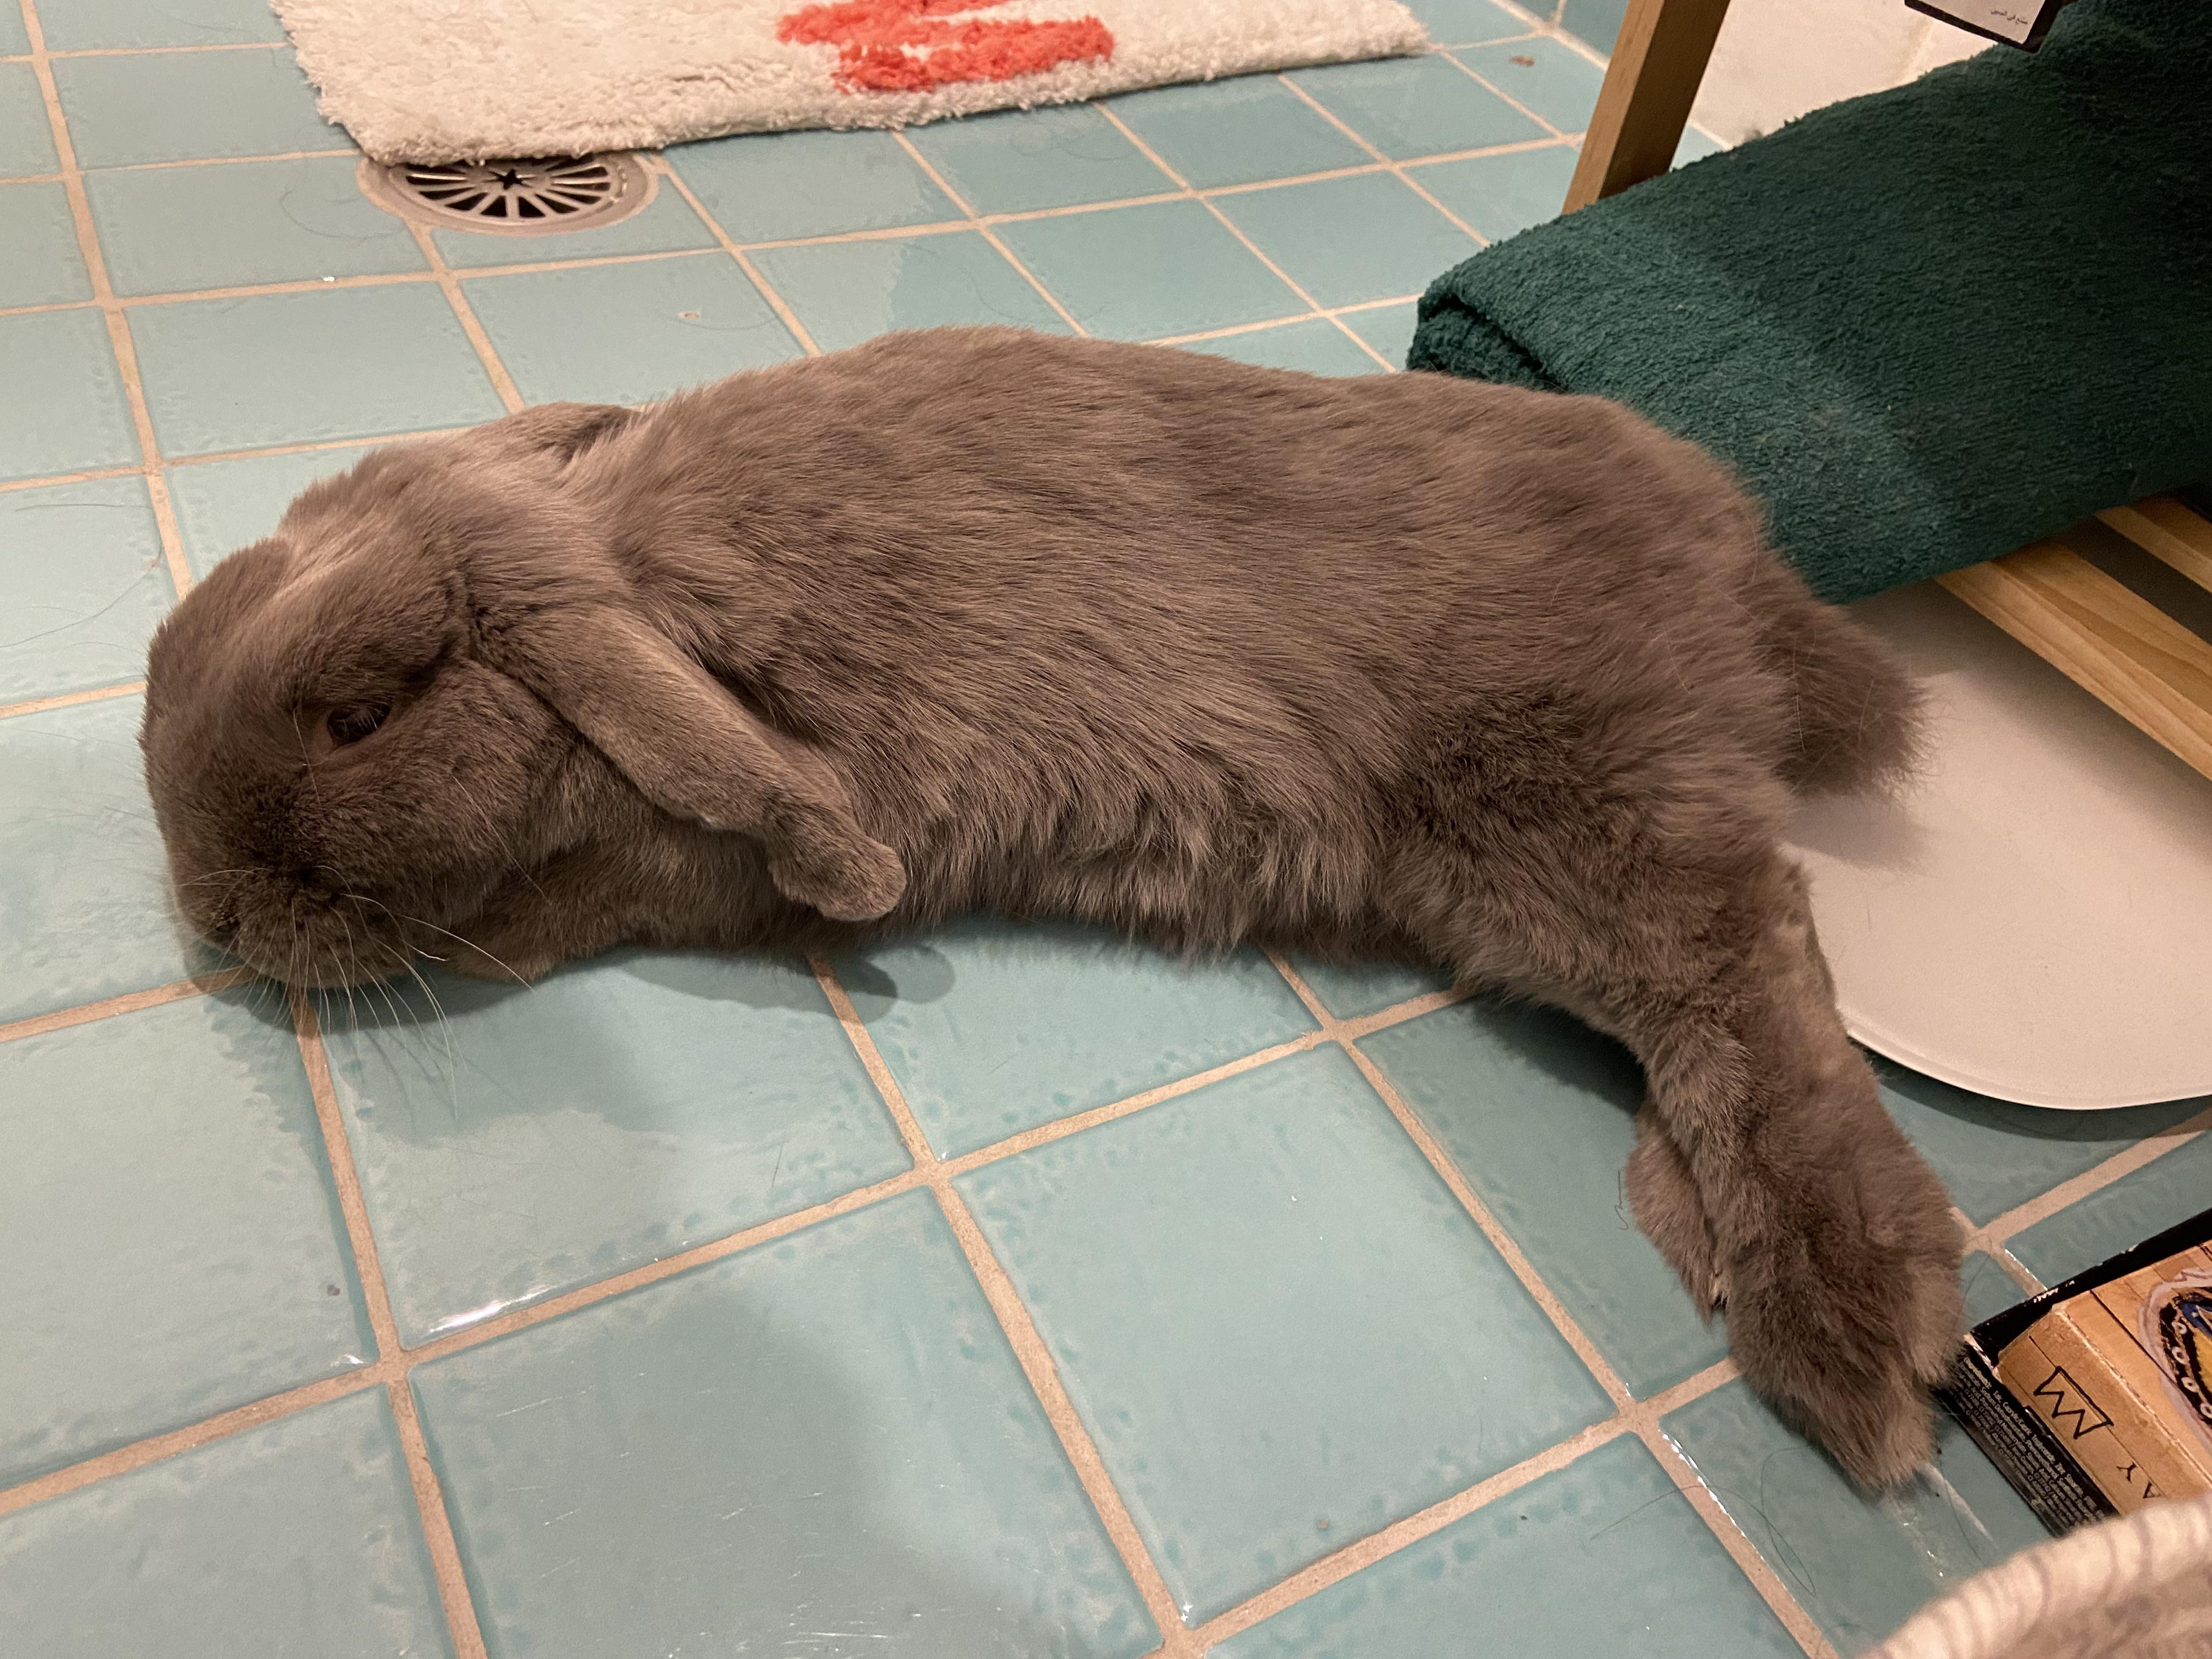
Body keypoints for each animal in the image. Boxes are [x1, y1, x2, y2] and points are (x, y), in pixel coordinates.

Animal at [141, 325, 1961, 1491]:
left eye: (360, 717)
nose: (208, 923)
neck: (637, 581)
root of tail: (1737, 562)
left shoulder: (676, 852)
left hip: (1565, 818)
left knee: (1751, 979)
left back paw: (1853, 1333)